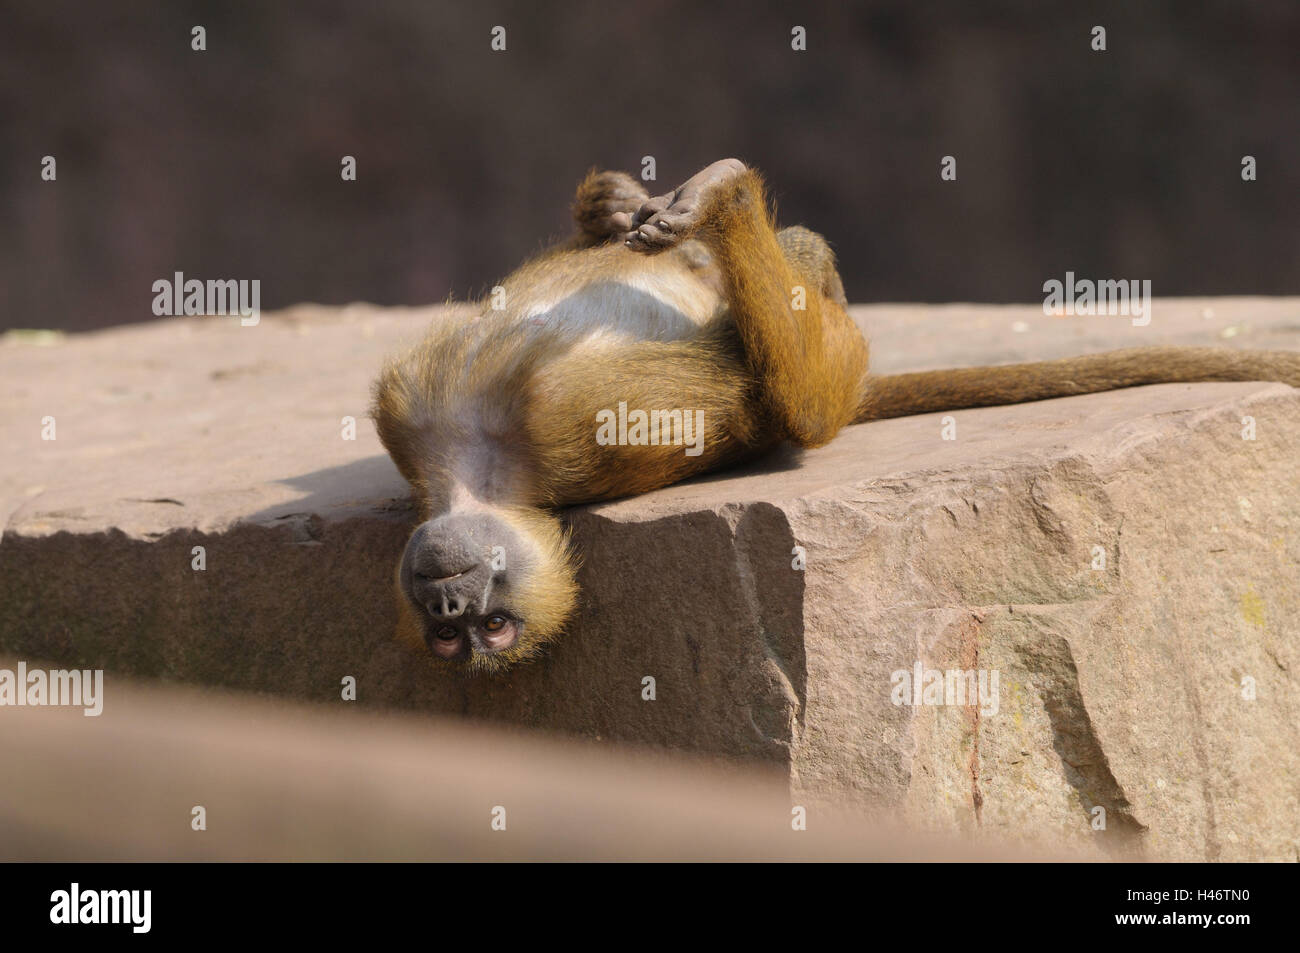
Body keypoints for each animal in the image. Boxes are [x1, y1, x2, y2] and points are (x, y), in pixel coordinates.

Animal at [372, 158, 1300, 673]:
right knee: (804, 391)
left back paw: (696, 202)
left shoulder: (487, 414)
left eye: (488, 623)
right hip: (841, 356)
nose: (451, 608)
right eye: (464, 637)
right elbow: (771, 405)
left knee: (787, 307)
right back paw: (718, 203)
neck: (474, 469)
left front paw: (627, 205)